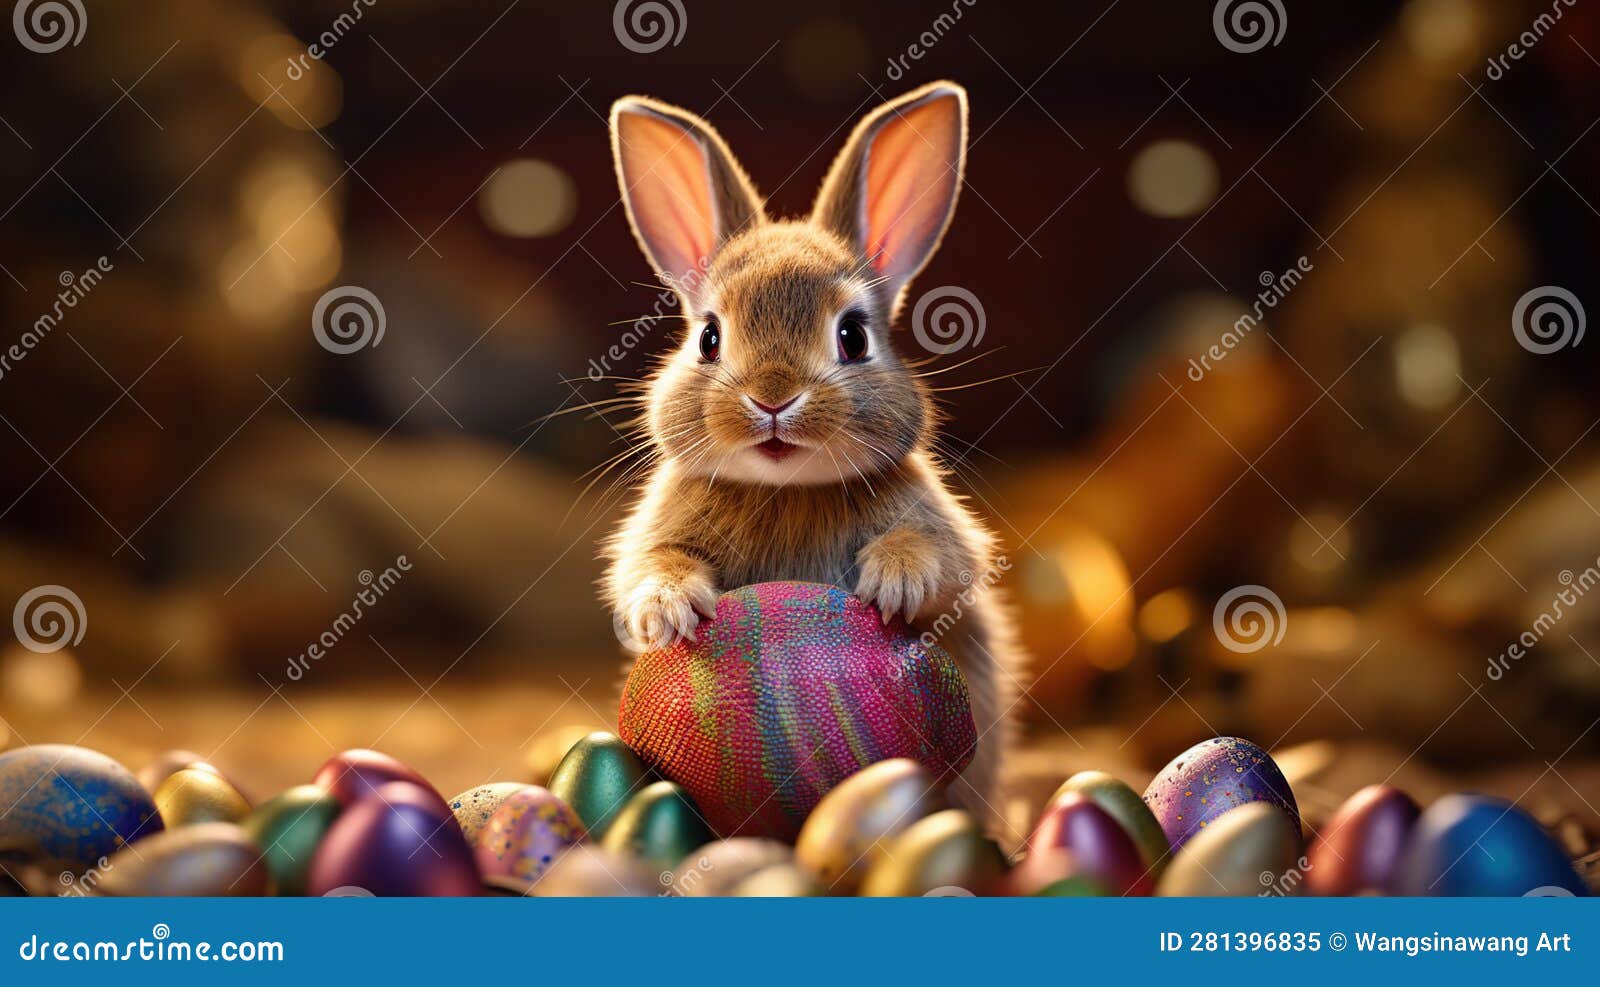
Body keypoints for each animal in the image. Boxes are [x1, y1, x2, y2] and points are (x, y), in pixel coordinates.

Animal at [601, 80, 1026, 838]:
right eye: (708, 337)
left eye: (853, 335)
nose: (773, 398)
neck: (787, 487)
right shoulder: (654, 532)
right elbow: (646, 568)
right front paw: (674, 608)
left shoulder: (941, 531)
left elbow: (938, 558)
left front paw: (894, 584)